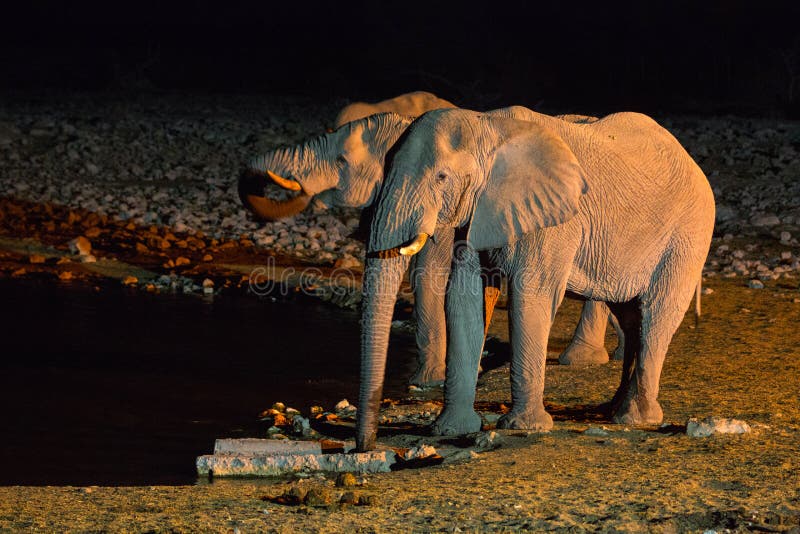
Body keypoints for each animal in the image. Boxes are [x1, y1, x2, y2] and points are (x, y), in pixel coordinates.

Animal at [356, 108, 714, 451]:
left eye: (442, 177)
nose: (366, 446)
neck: (487, 124)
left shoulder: (553, 221)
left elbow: (531, 296)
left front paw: (524, 427)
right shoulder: (476, 214)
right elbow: (462, 297)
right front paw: (449, 429)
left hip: (687, 237)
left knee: (656, 315)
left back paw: (635, 419)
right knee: (630, 317)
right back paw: (614, 410)